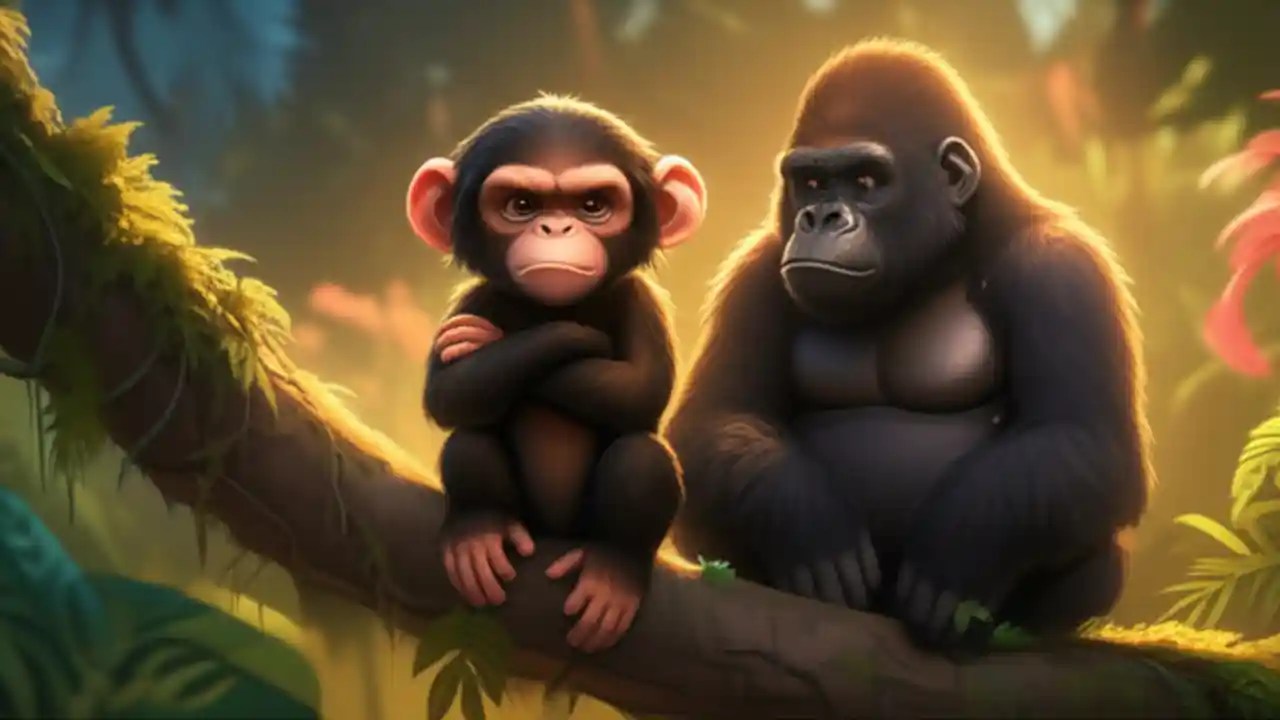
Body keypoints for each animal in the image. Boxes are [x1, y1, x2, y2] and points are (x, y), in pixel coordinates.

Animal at [407, 95, 707, 653]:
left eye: (592, 206)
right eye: (521, 205)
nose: (555, 229)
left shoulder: (641, 301)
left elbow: (639, 389)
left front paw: (536, 337)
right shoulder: (474, 299)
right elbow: (449, 392)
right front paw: (489, 341)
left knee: (643, 458)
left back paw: (612, 574)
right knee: (469, 441)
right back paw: (479, 532)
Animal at [666, 40, 1152, 649]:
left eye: (867, 181)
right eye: (812, 183)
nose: (820, 217)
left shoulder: (1062, 269)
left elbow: (1085, 438)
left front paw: (959, 553)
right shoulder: (753, 271)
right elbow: (712, 420)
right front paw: (806, 522)